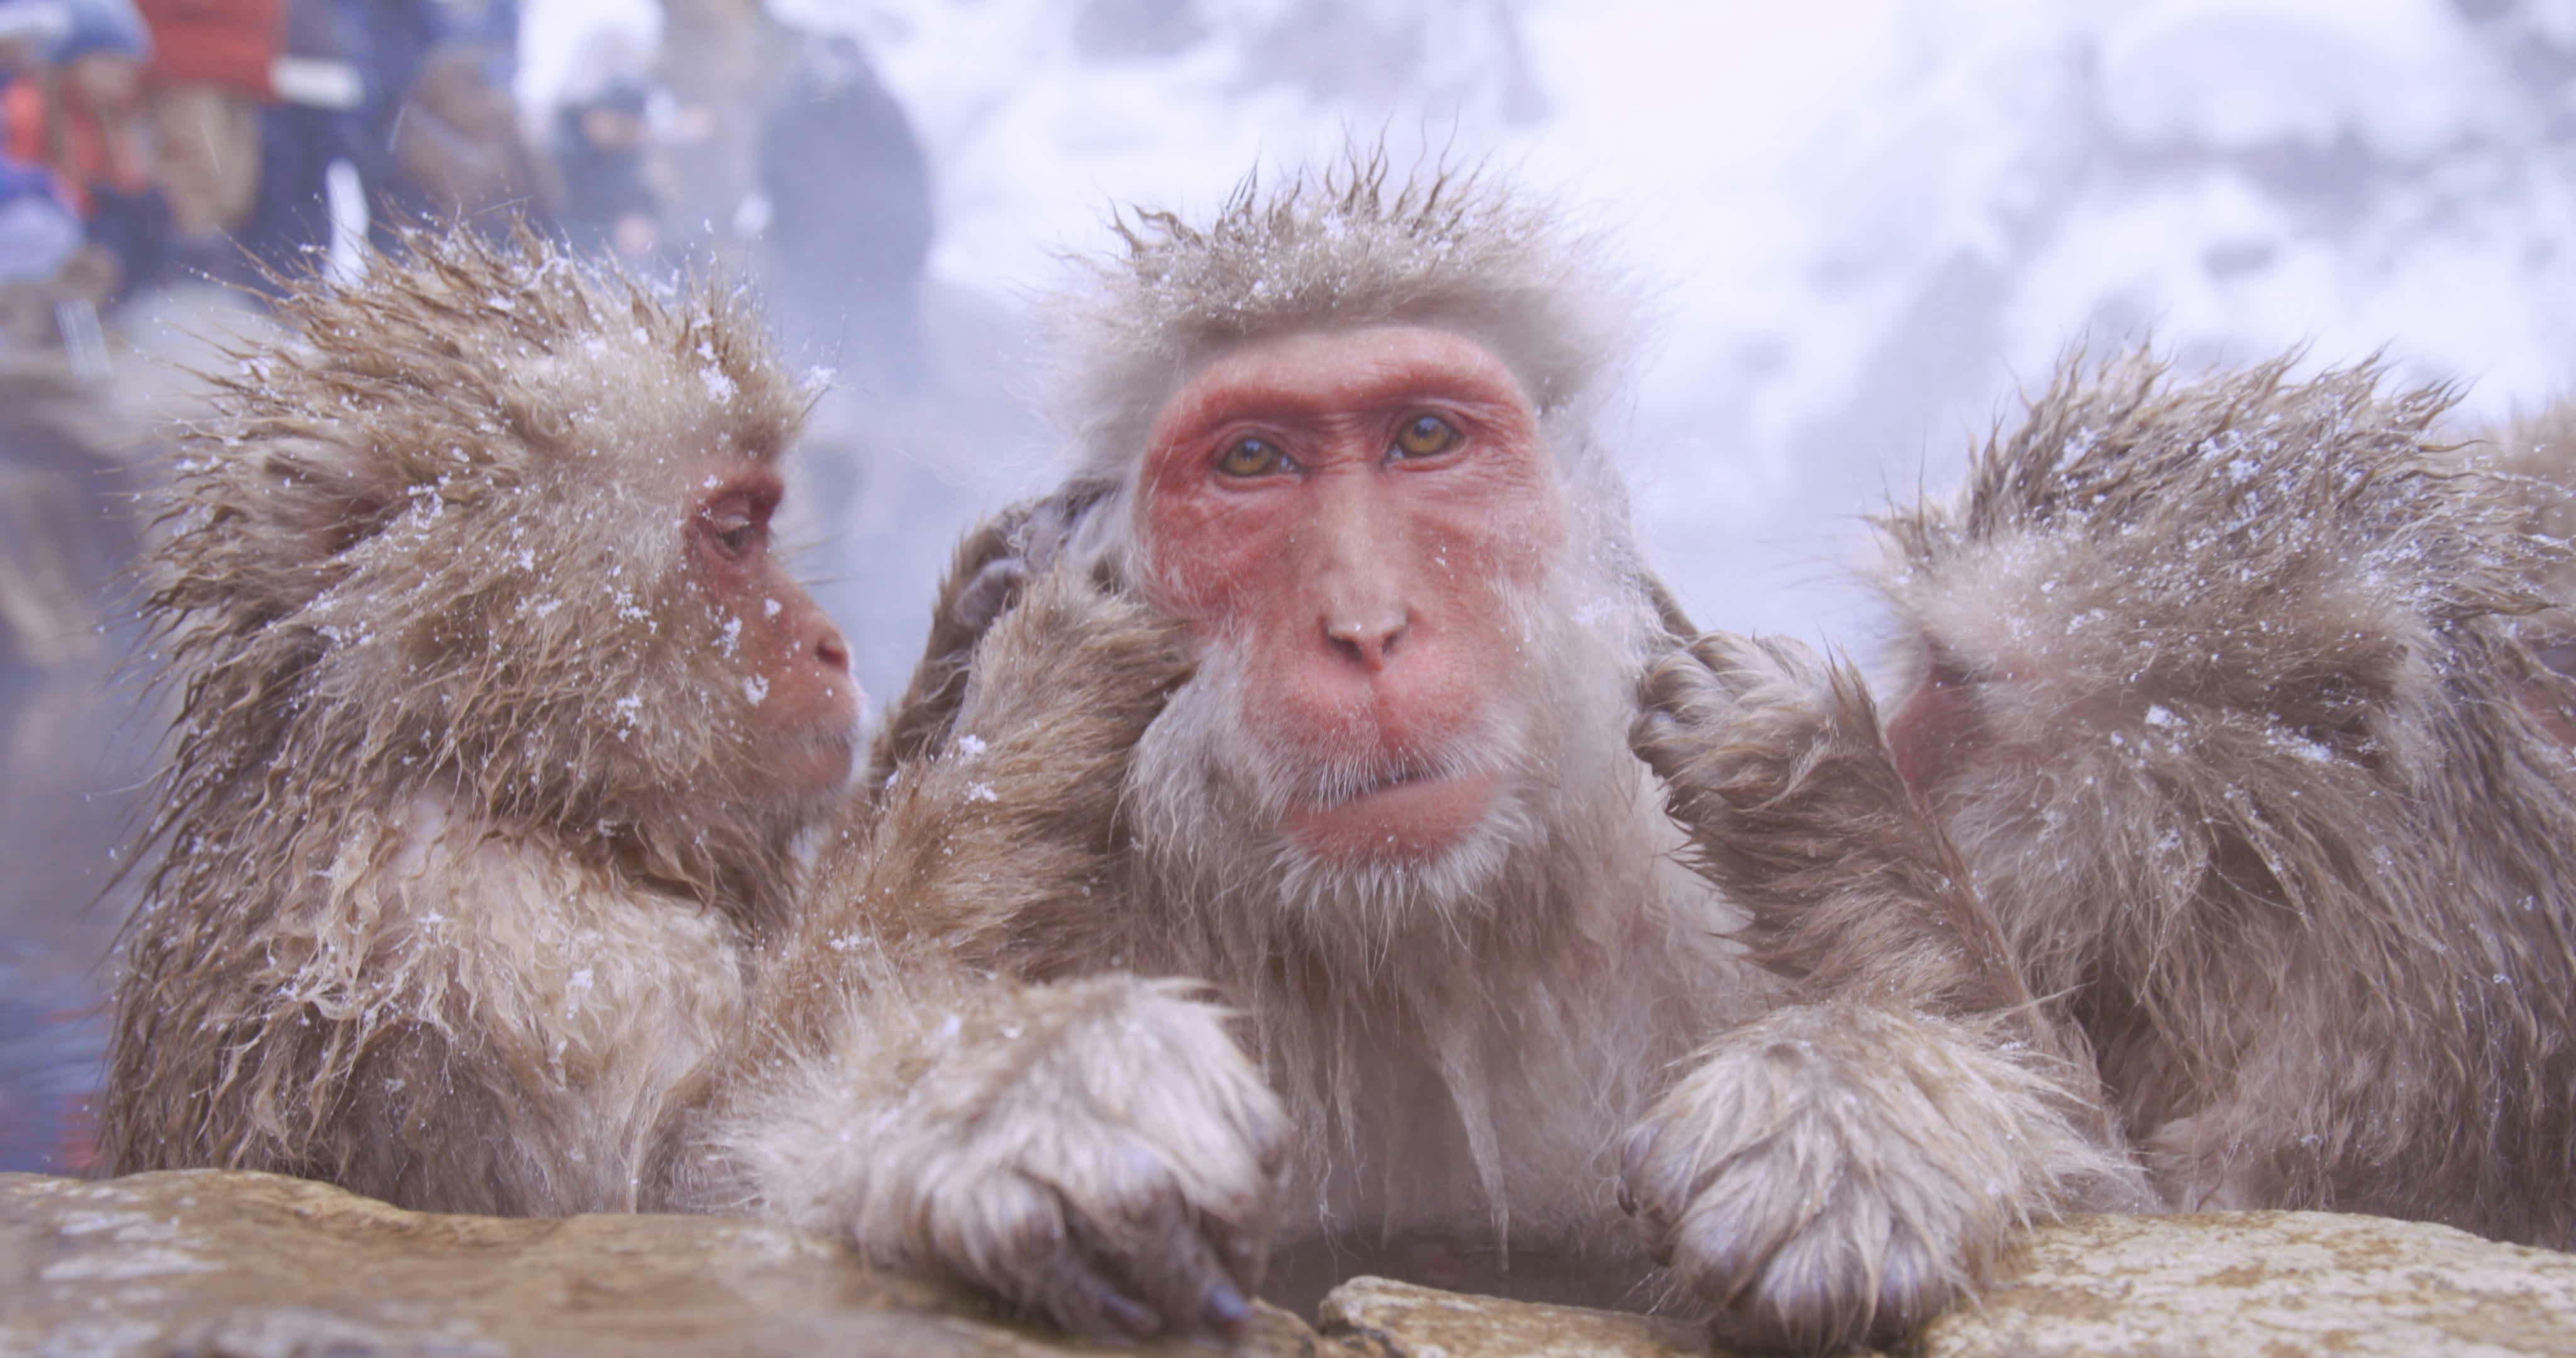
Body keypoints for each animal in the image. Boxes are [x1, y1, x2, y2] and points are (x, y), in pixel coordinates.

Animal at [94, 232, 1224, 1238]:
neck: (489, 773)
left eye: (763, 519)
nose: (828, 644)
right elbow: (694, 1190)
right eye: (733, 531)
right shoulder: (482, 945)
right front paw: (1037, 679)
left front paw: (974, 622)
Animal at [710, 152, 2146, 1354]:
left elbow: (2117, 1194)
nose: (1364, 624)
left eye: (1423, 439)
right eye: (1251, 460)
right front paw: (1036, 1088)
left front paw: (1843, 1109)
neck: (1403, 942)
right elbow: (706, 1168)